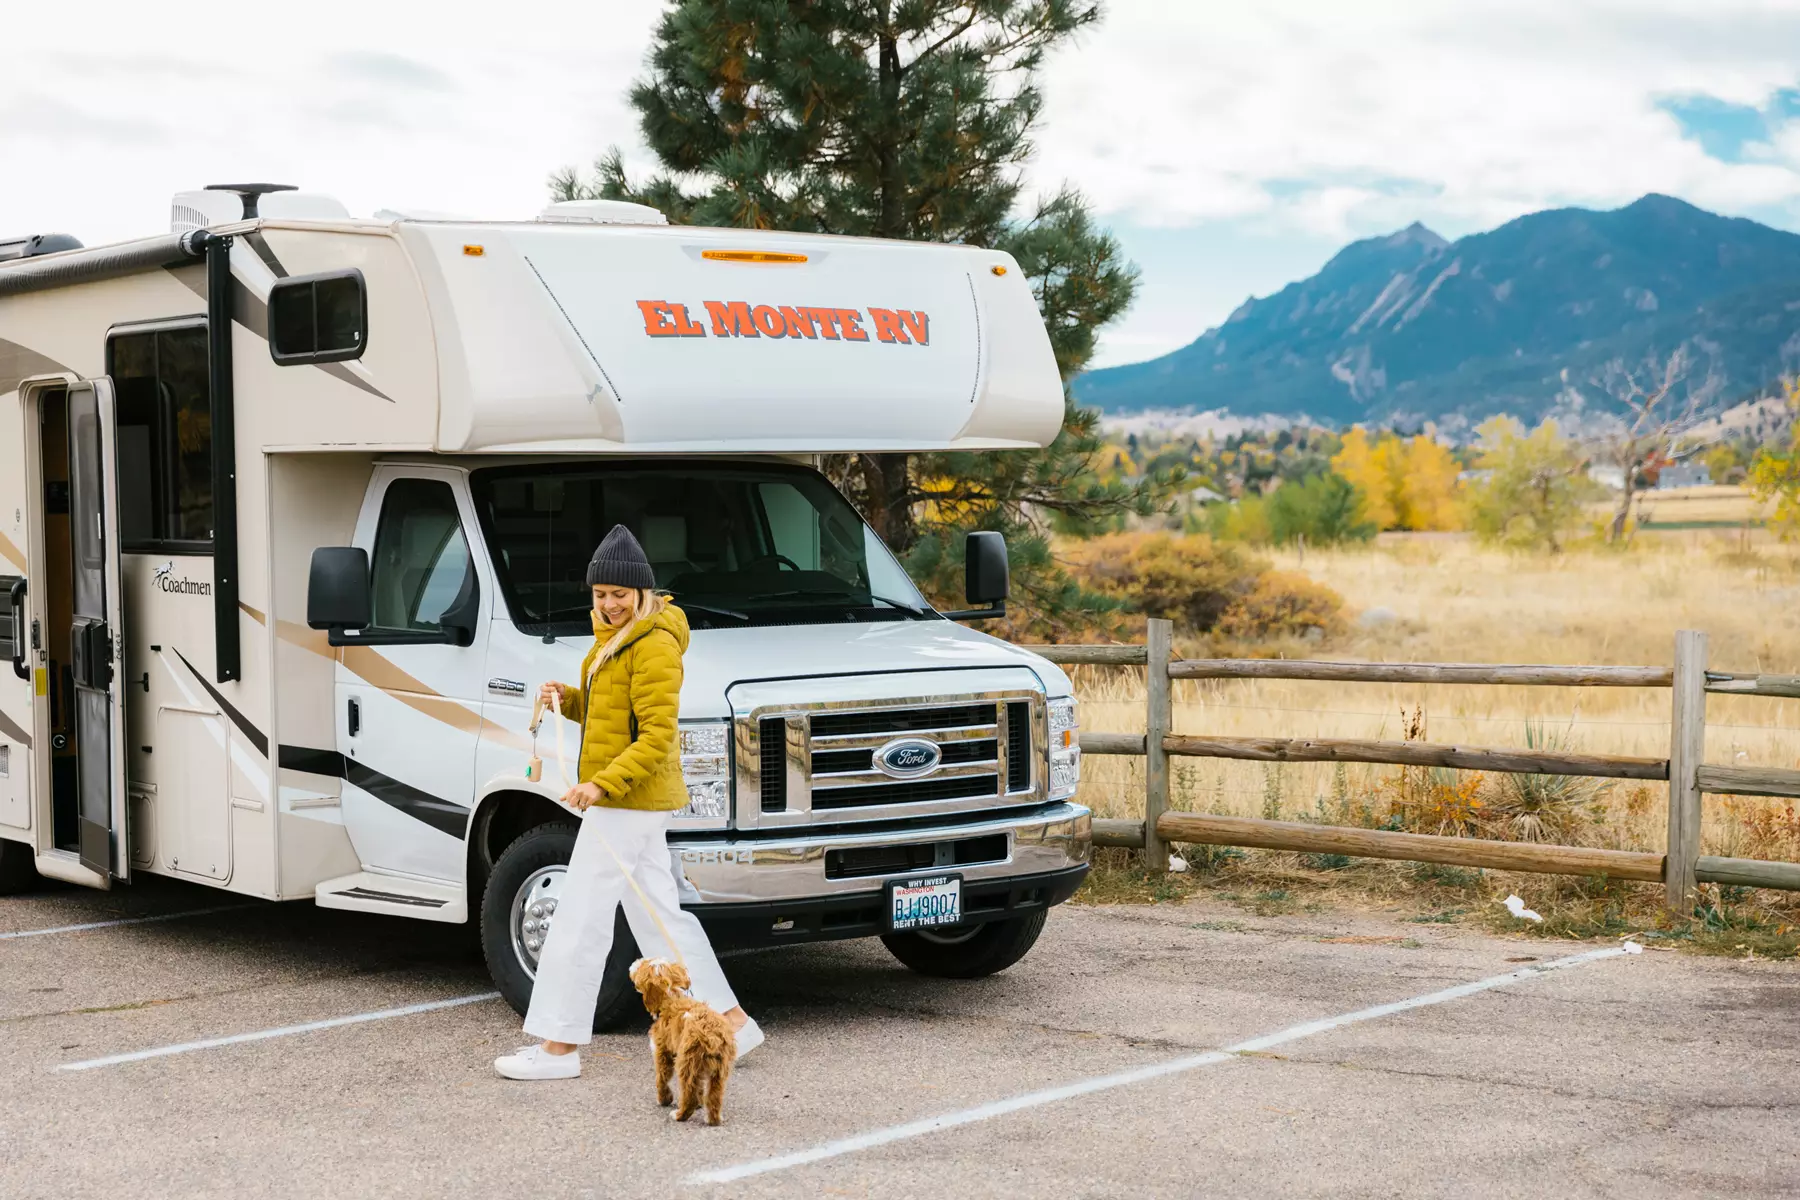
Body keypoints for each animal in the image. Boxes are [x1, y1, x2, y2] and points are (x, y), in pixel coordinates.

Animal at [630, 957, 734, 1129]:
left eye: (644, 965)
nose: (634, 964)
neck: (671, 997)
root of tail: (712, 1035)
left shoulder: (662, 1051)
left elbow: (662, 1077)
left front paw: (664, 1099)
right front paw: (700, 1103)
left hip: (686, 1062)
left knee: (689, 1095)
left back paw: (679, 1115)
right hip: (719, 1070)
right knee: (714, 1097)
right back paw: (713, 1119)